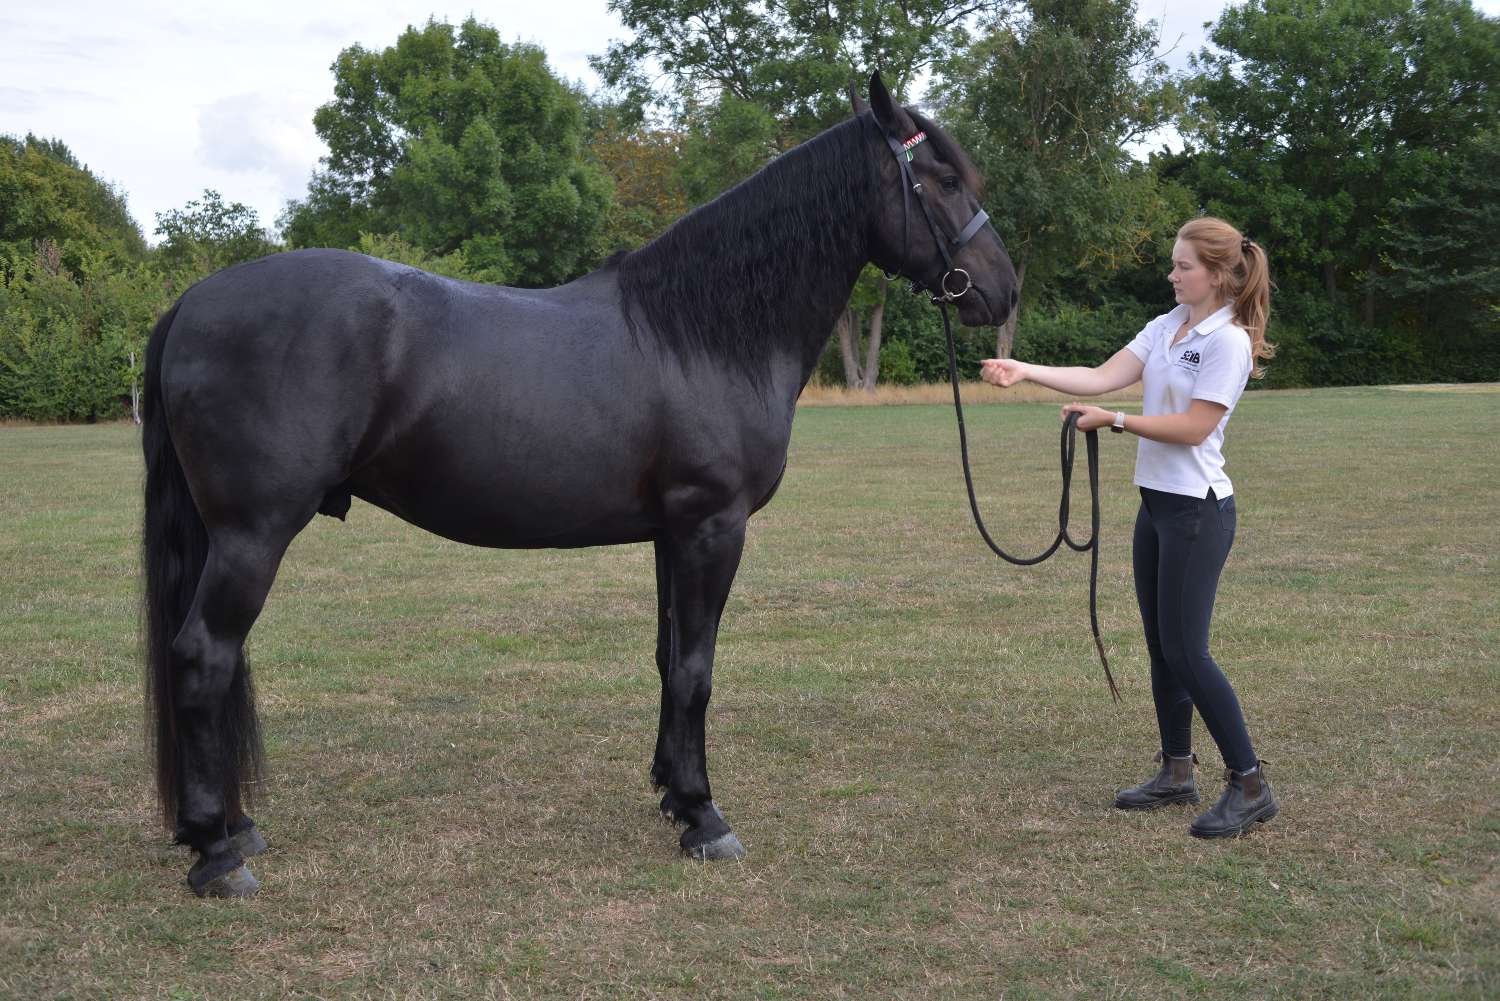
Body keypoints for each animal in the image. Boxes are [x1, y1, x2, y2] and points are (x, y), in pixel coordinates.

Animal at [142, 71, 1017, 897]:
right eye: (941, 177)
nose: (1002, 289)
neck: (704, 334)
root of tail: (191, 300)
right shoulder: (713, 526)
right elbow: (697, 668)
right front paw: (705, 816)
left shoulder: (673, 532)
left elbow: (669, 657)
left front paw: (671, 791)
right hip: (253, 533)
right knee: (204, 656)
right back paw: (216, 850)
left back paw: (234, 825)